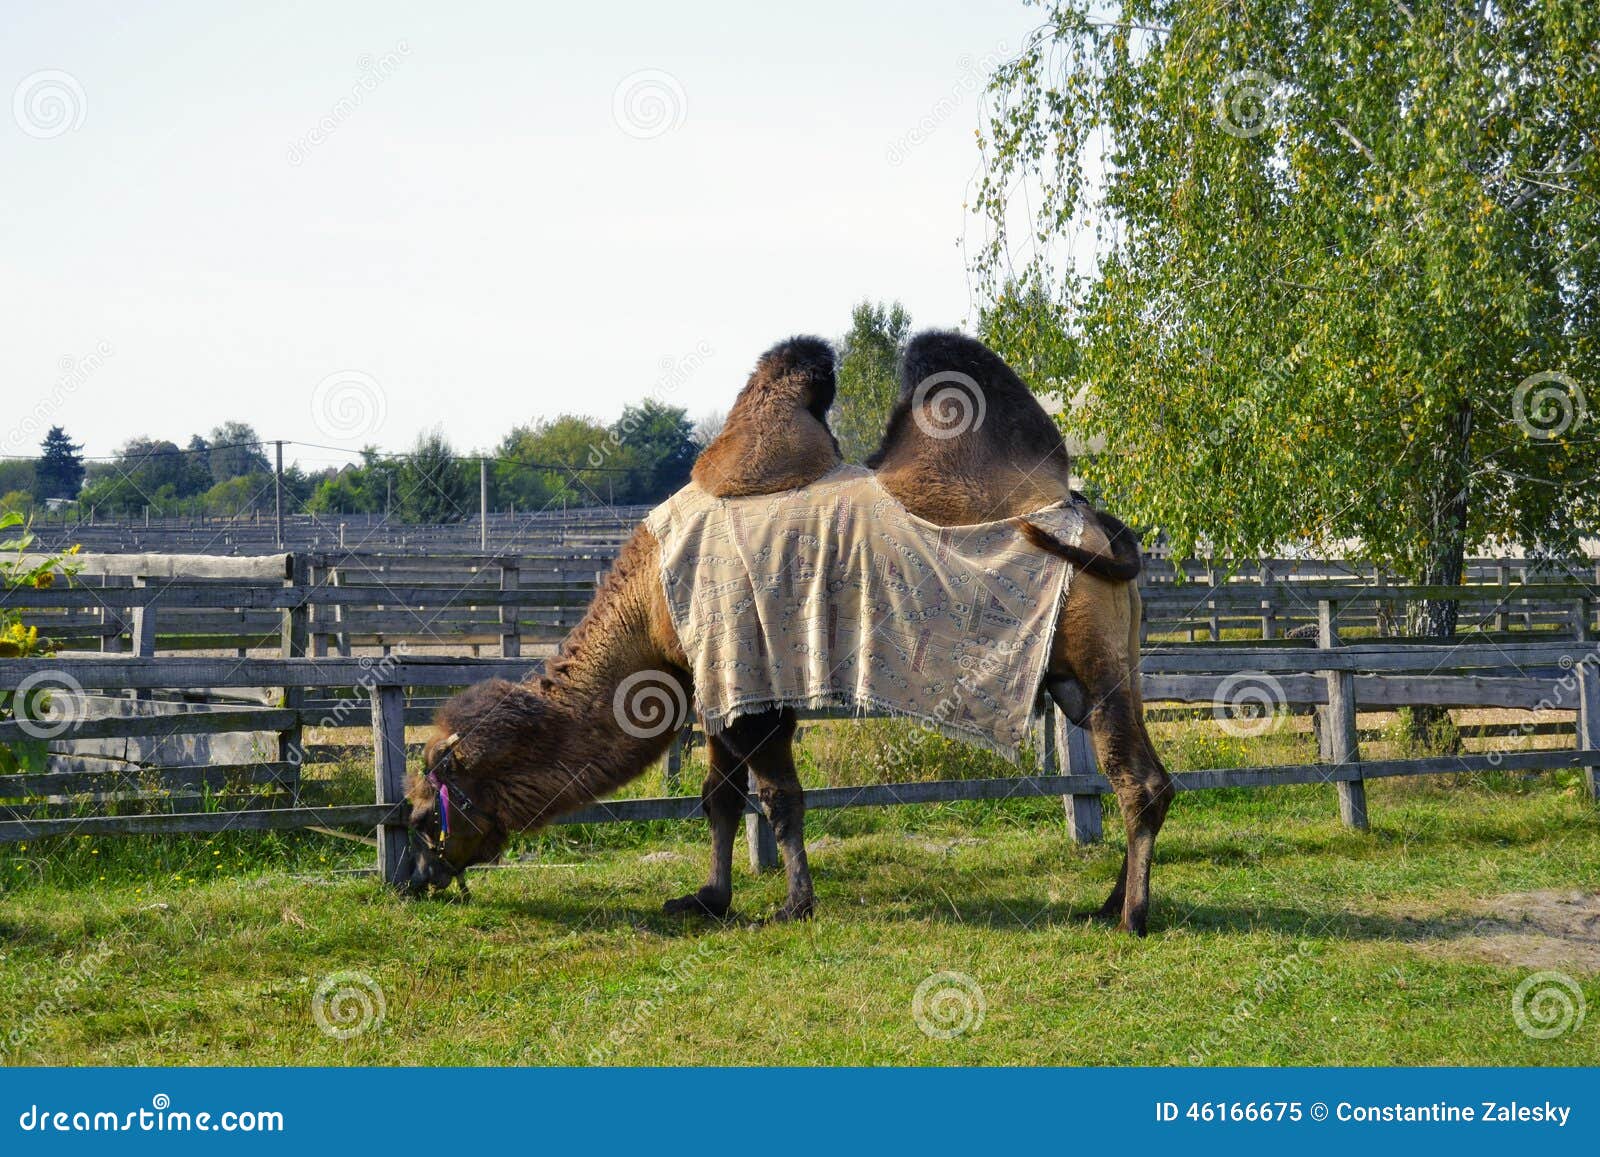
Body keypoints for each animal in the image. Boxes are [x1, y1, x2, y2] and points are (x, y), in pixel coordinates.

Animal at [404, 332, 1173, 934]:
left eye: (421, 818)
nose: (412, 880)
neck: (650, 601)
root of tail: (1096, 520)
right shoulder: (718, 682)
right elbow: (718, 797)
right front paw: (708, 898)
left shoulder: (752, 680)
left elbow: (778, 797)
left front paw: (793, 904)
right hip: (1090, 672)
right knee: (1146, 773)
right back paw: (1109, 903)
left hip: (1093, 658)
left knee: (1134, 779)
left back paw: (1131, 916)